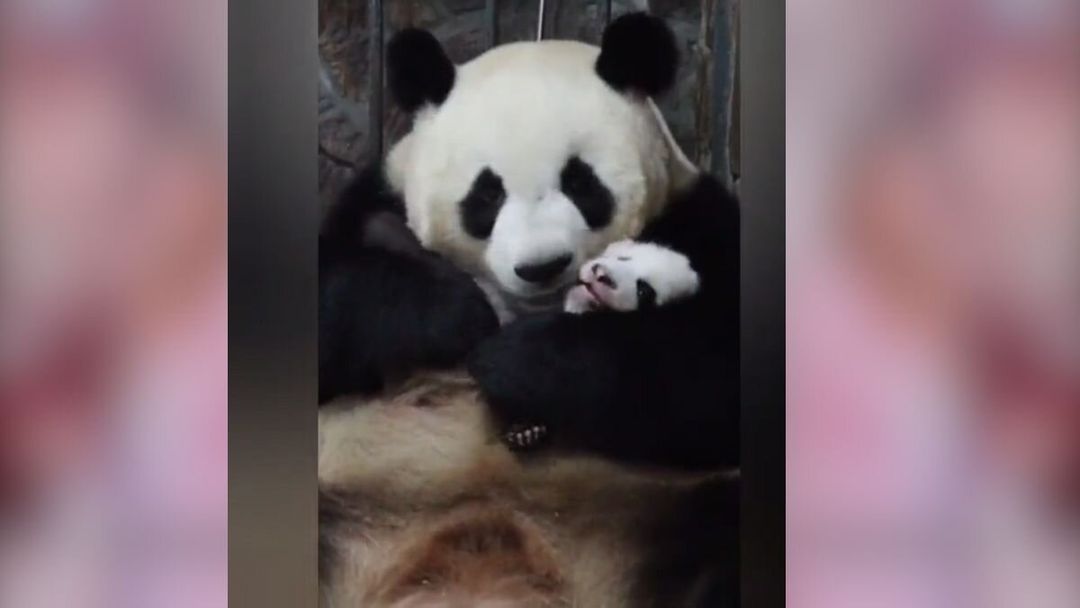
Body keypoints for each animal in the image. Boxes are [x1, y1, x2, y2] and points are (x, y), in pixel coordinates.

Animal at [318, 12, 740, 606]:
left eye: (581, 182)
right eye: (487, 194)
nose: (542, 266)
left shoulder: (698, 218)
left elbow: (716, 364)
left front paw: (522, 361)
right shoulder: (371, 202)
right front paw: (455, 313)